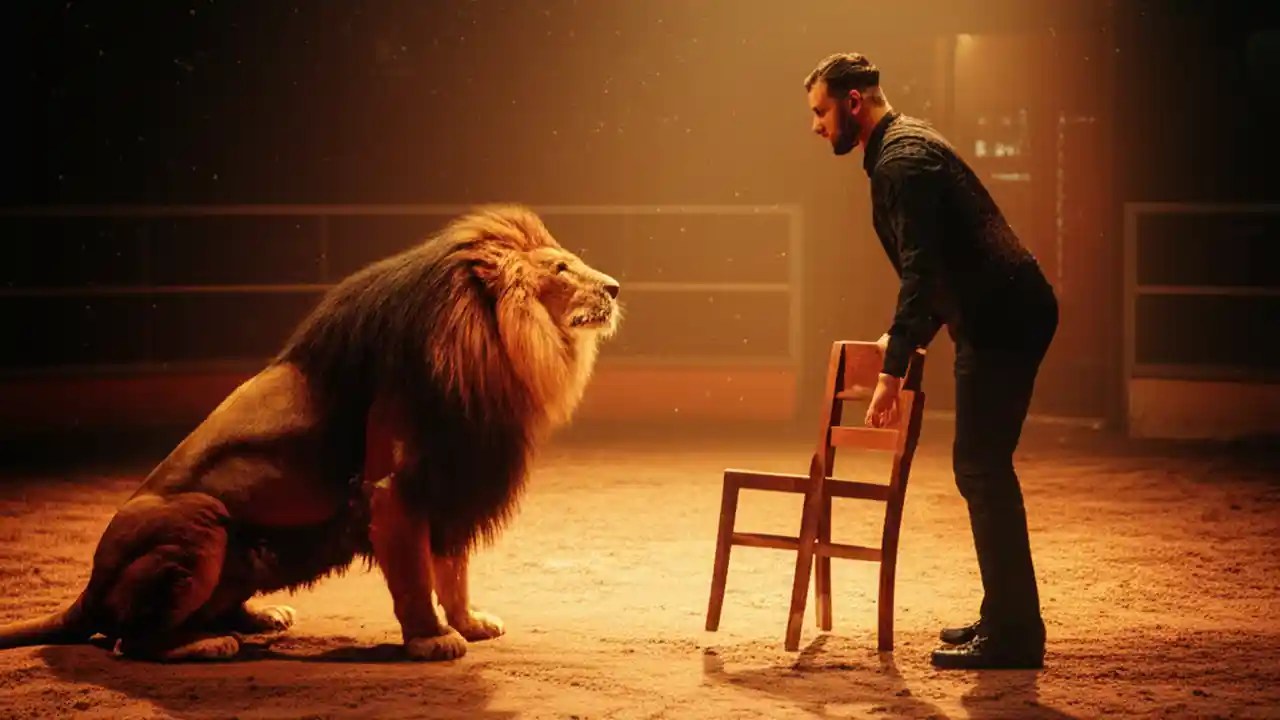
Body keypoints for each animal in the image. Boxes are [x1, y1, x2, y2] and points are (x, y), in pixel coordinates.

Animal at [0, 204, 621, 662]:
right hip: (201, 521)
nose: (615, 287)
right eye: (561, 269)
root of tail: (89, 588)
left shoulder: (454, 478)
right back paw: (207, 644)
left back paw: (260, 618)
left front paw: (468, 622)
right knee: (129, 642)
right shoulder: (396, 487)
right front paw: (430, 639)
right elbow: (416, 576)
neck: (495, 347)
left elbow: (454, 570)